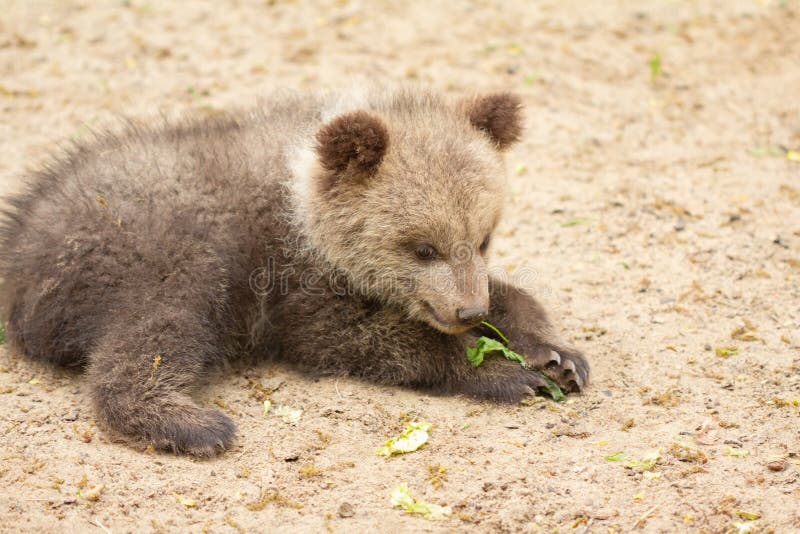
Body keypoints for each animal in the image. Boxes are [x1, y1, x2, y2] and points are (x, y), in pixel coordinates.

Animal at [0, 85, 589, 456]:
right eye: (422, 248)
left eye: (483, 238)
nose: (468, 310)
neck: (302, 211)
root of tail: (21, 248)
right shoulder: (292, 289)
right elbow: (367, 340)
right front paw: (500, 370)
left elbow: (516, 297)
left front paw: (556, 354)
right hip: (159, 258)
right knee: (149, 337)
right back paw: (191, 424)